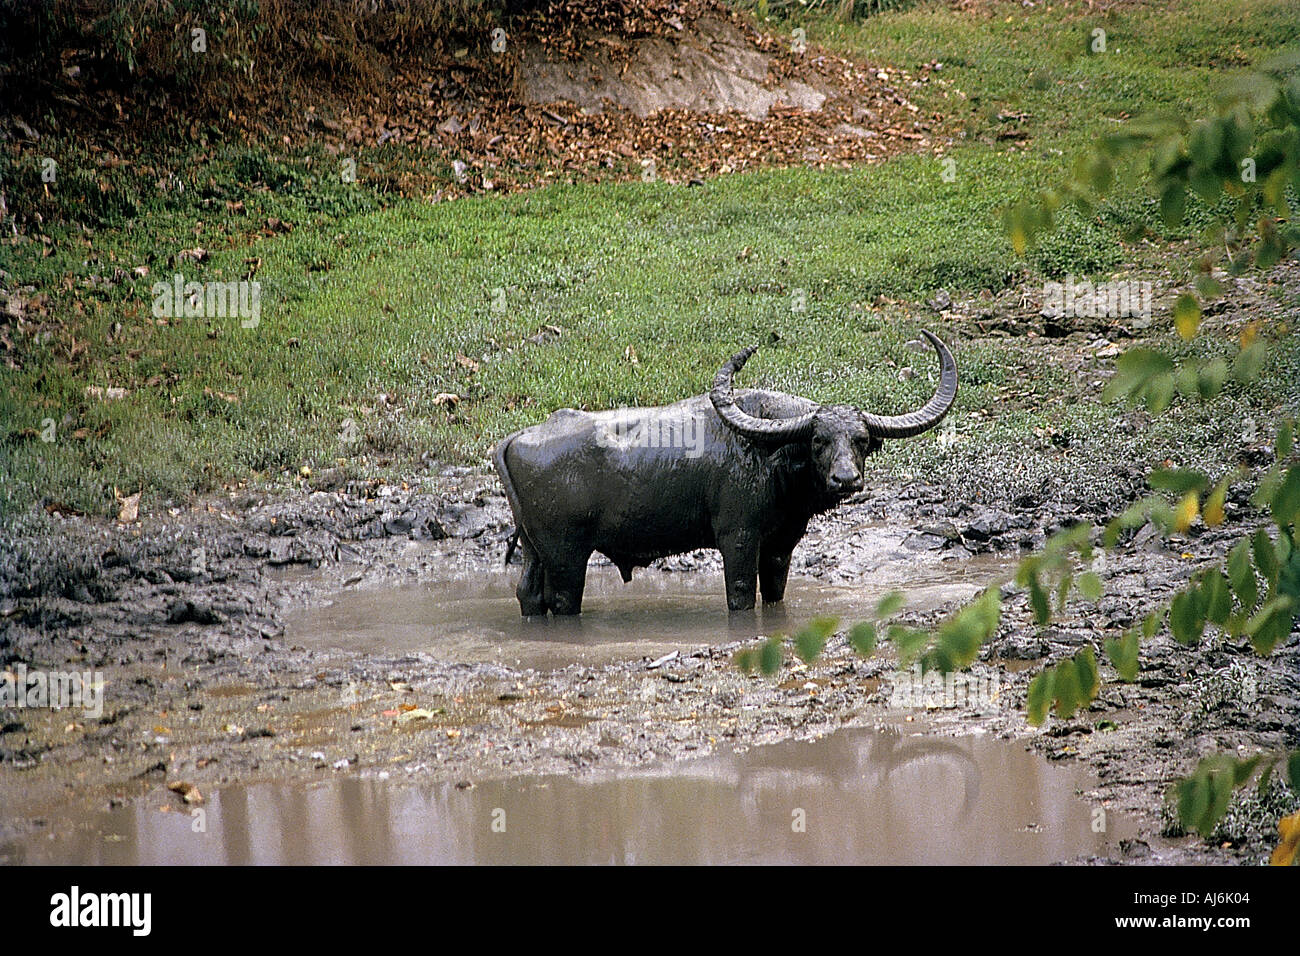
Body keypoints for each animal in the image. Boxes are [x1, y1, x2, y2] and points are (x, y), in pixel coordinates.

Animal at [494, 331, 958, 615]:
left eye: (860, 439)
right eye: (818, 441)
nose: (845, 480)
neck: (771, 453)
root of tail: (520, 436)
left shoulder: (780, 545)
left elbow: (774, 593)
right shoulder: (738, 538)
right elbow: (740, 596)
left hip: (535, 549)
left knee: (527, 593)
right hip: (566, 555)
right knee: (561, 600)